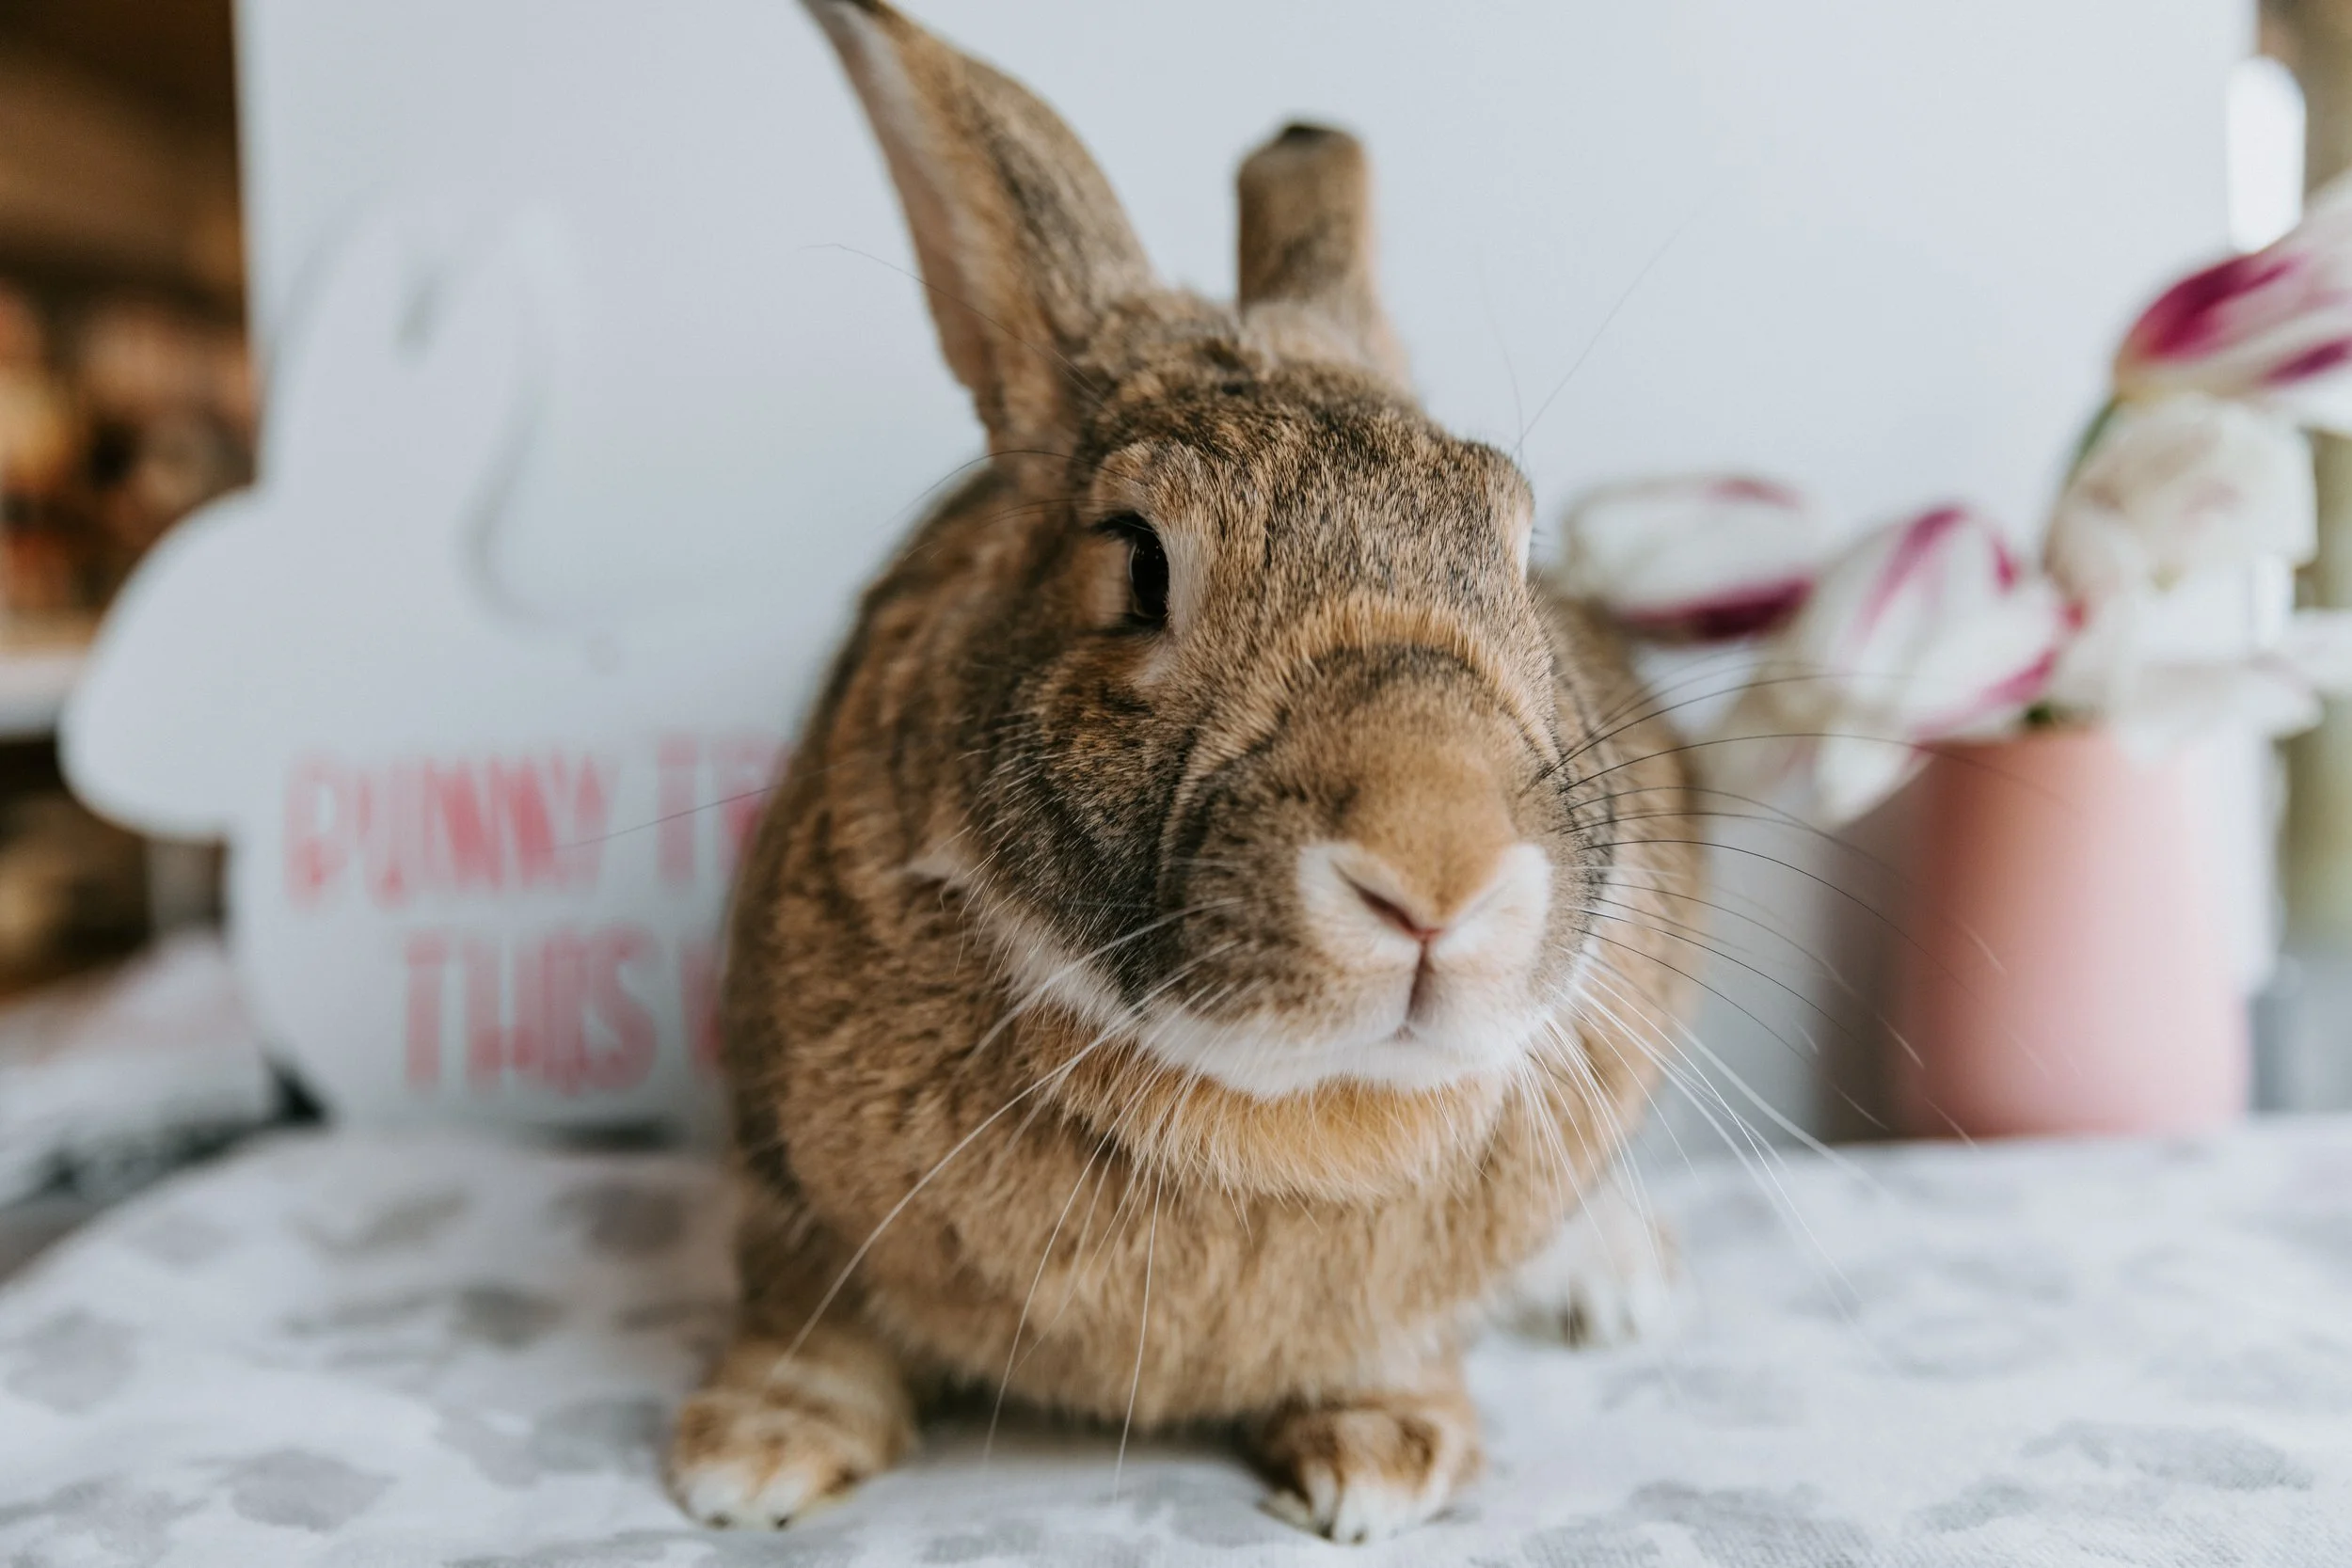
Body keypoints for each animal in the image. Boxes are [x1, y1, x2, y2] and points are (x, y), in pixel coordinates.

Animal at [666, 0, 1702, 1543]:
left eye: (1519, 550)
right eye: (1141, 563)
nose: (1438, 871)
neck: (1284, 1102)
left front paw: (1382, 1465)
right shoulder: (793, 1190)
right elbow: (809, 1319)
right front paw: (748, 1462)